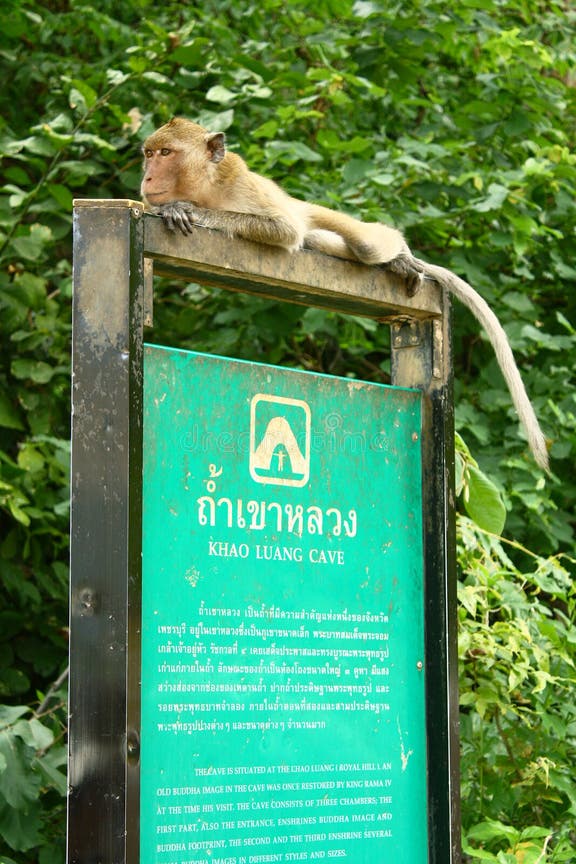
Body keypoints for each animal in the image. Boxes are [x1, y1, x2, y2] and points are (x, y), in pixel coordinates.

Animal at [141, 118, 549, 471]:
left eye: (166, 153)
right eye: (149, 153)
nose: (146, 176)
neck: (208, 187)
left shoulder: (244, 185)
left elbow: (284, 230)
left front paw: (186, 209)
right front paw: (177, 207)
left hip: (321, 218)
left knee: (359, 242)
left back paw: (401, 258)